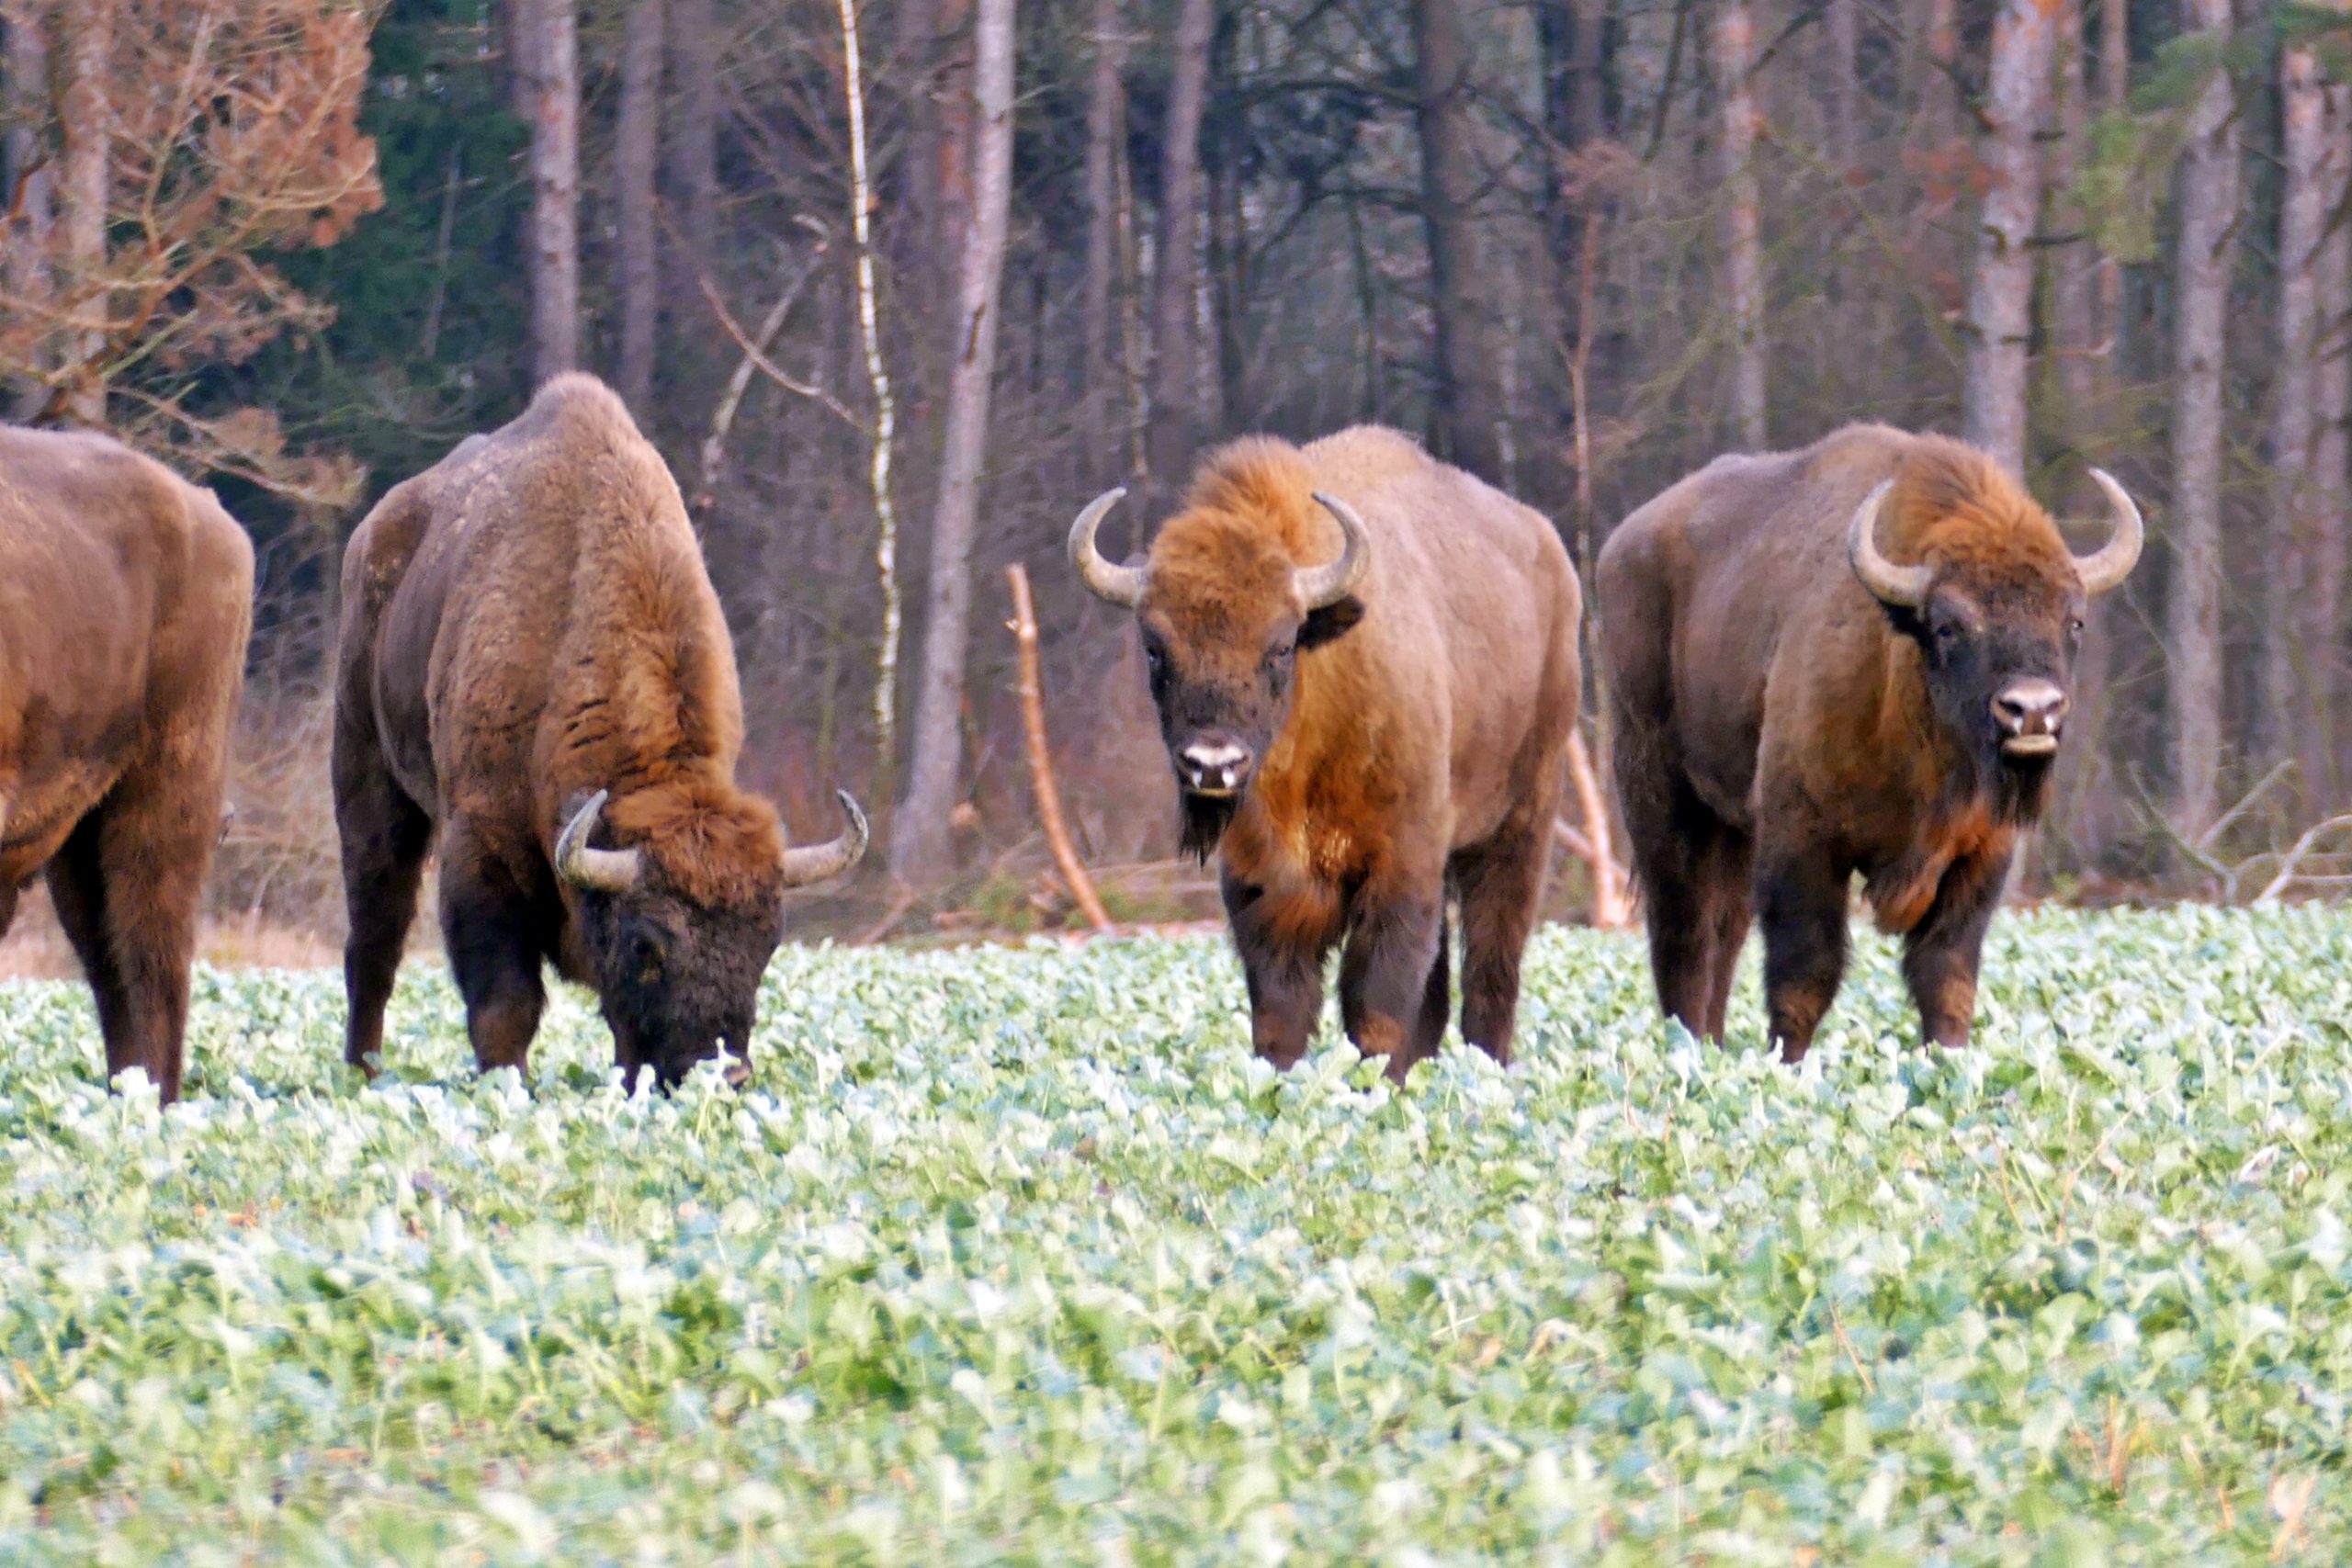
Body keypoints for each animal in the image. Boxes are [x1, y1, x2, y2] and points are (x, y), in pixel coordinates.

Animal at [0, 426, 255, 1102]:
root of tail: (209, 512)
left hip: (166, 788)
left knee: (151, 953)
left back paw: (151, 1103)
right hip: (77, 836)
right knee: (107, 960)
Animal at [334, 375, 867, 1087]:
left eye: (768, 941)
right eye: (647, 944)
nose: (724, 1074)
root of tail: (373, 534)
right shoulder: (480, 847)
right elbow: (506, 1002)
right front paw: (510, 1087)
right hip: (367, 779)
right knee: (374, 939)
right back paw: (363, 1073)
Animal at [1070, 429, 1583, 1079]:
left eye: (1281, 645)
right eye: (1156, 648)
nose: (1213, 763)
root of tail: (1551, 554)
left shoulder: (1400, 865)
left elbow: (1378, 1007)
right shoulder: (1260, 885)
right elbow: (1281, 1012)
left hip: (1519, 825)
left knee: (1494, 961)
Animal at [1597, 425, 2142, 1059]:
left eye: (2073, 620)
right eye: (1949, 625)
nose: (2032, 710)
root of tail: (1622, 543)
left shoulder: (1981, 856)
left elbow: (1946, 976)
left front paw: (1948, 1061)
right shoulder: (1802, 841)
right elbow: (1805, 973)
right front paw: (1787, 1063)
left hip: (1730, 823)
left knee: (1723, 929)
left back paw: (1710, 1042)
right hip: (1657, 790)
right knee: (1682, 924)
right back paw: (1686, 1042)